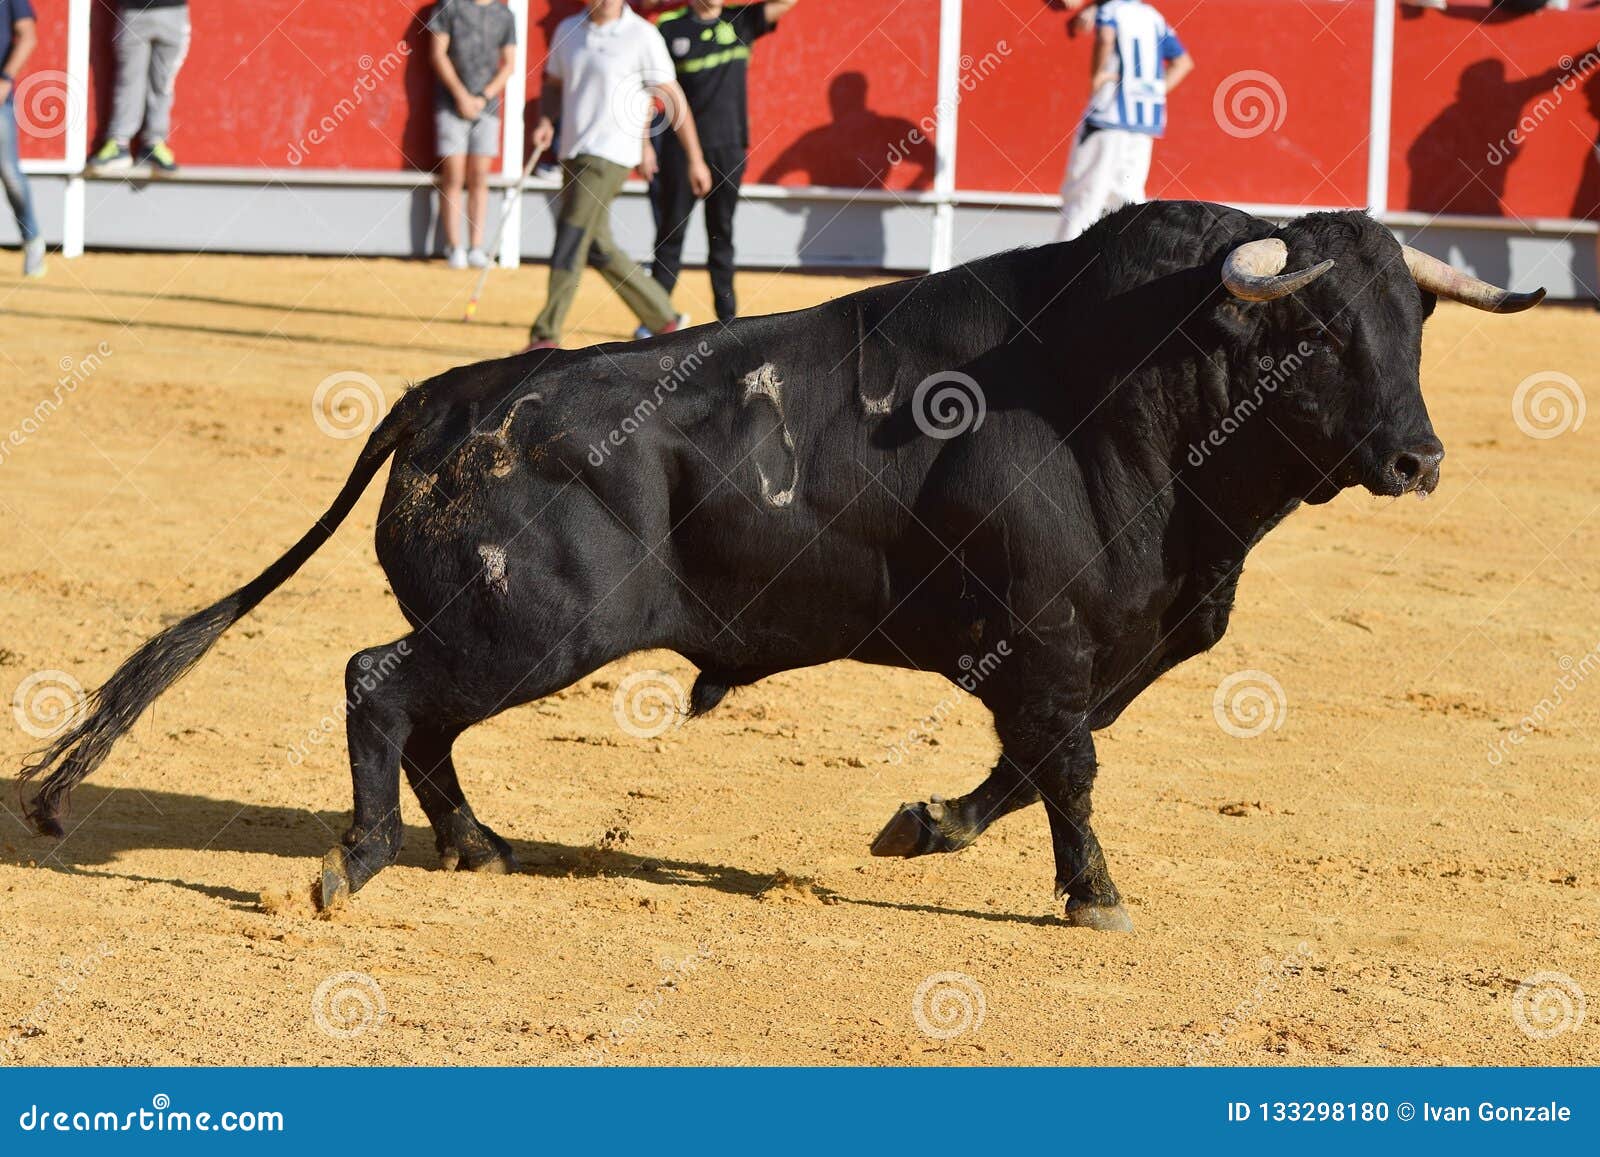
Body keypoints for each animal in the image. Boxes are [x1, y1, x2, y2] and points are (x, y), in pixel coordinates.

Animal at [19, 201, 1542, 929]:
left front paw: (925, 826)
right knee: (378, 683)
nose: (1419, 458)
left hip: (508, 635)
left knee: (424, 717)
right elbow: (1067, 766)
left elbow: (1033, 763)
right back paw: (360, 861)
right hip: (527, 626)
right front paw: (1095, 896)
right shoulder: (1050, 639)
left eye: (1413, 326)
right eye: (1318, 333)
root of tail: (454, 393)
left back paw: (477, 843)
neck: (1132, 390)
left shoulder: (1103, 645)